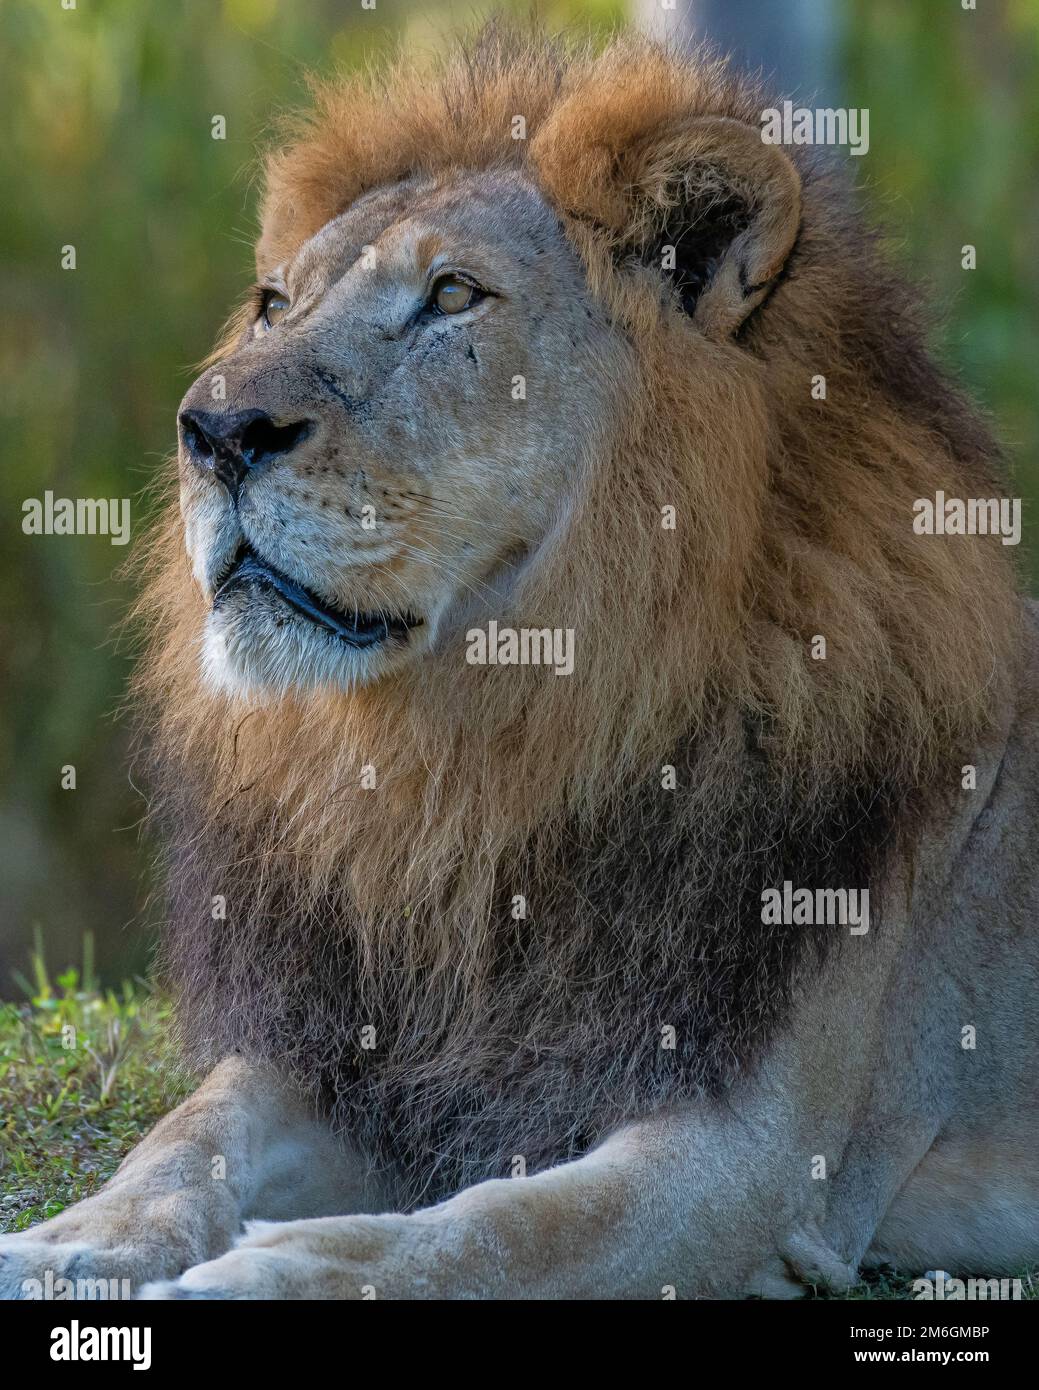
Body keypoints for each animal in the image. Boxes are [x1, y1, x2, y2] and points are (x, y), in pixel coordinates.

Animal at [2, 25, 1036, 1300]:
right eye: (273, 304)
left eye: (452, 294)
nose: (213, 430)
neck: (487, 750)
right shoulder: (376, 1047)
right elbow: (192, 1127)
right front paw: (75, 1237)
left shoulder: (747, 1166)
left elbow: (491, 1231)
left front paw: (277, 1271)